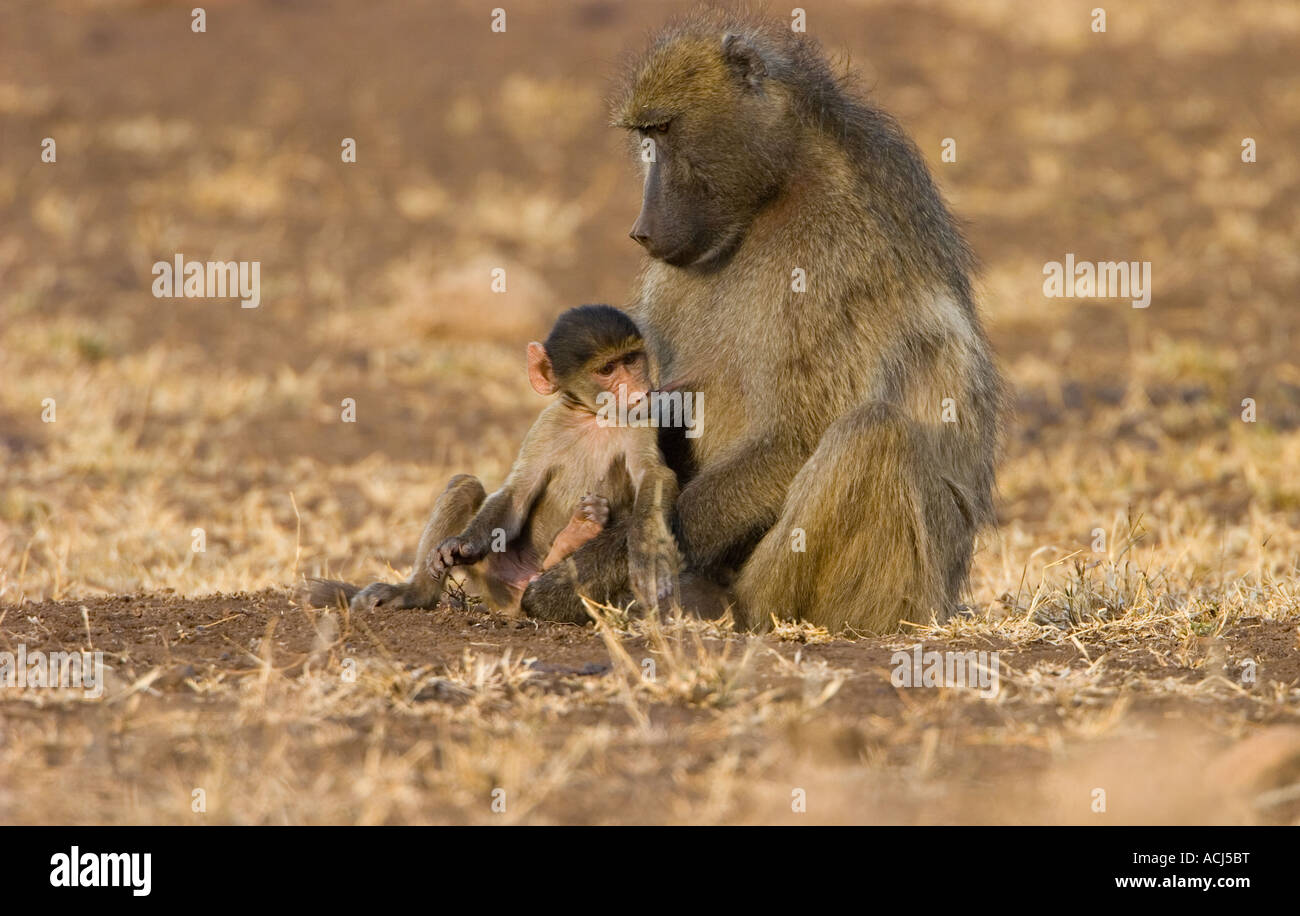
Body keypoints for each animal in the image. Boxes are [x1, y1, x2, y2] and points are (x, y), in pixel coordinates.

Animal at [306, 304, 681, 616]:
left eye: (632, 359)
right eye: (607, 369)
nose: (637, 389)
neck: (593, 418)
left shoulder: (642, 419)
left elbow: (654, 474)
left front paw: (649, 558)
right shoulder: (546, 426)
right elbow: (518, 492)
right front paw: (463, 544)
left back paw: (579, 532)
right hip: (492, 574)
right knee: (466, 485)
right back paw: (414, 594)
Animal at [517, 10, 1006, 634]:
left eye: (666, 131)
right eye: (643, 139)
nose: (642, 229)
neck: (779, 187)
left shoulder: (828, 252)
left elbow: (798, 434)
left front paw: (573, 574)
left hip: (880, 593)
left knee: (874, 435)